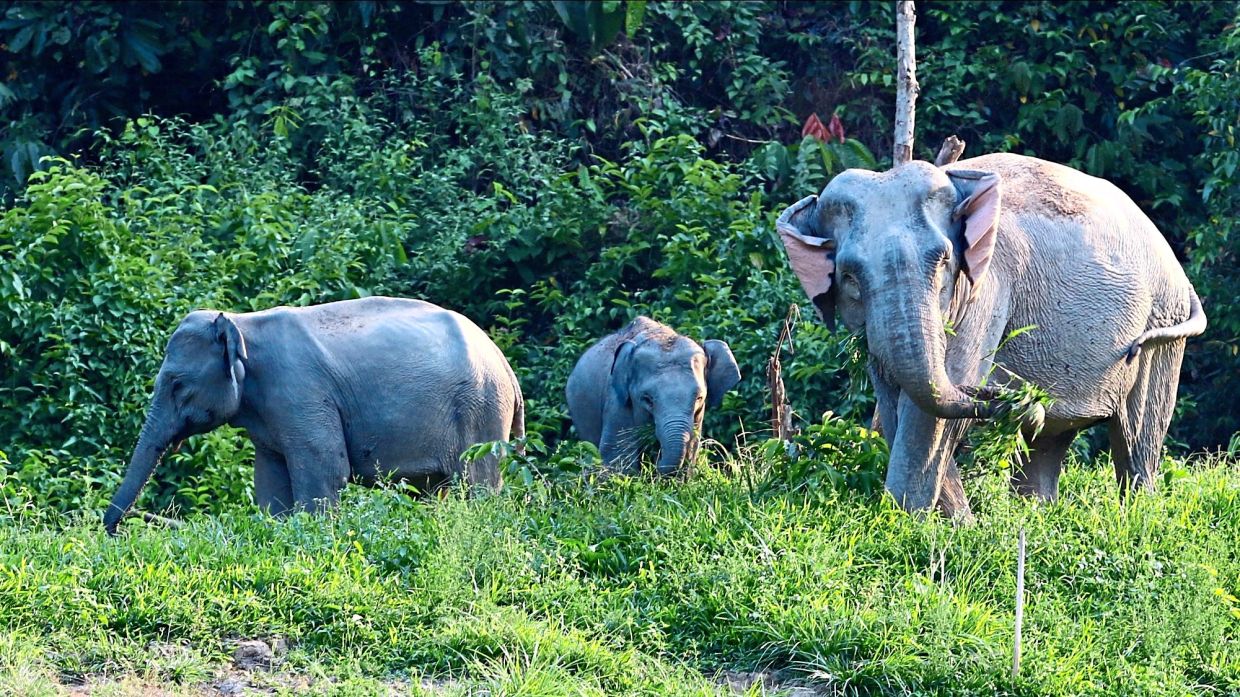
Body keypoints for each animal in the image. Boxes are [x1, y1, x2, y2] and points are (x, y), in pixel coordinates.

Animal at [104, 297, 524, 534]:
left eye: (176, 385)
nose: (114, 531)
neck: (243, 323)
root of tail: (504, 363)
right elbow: (271, 481)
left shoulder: (301, 392)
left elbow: (325, 472)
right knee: (433, 491)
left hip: (481, 412)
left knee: (477, 486)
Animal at [566, 317, 741, 474]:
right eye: (647, 399)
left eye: (699, 398)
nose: (656, 462)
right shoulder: (617, 399)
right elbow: (617, 452)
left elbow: (692, 449)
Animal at [778, 153, 1205, 517]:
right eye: (849, 276)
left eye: (943, 260)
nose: (1007, 395)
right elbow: (897, 401)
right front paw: (947, 523)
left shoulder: (988, 290)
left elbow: (933, 408)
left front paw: (913, 522)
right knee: (1048, 439)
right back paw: (1036, 514)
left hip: (1160, 326)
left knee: (1137, 435)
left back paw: (1137, 515)